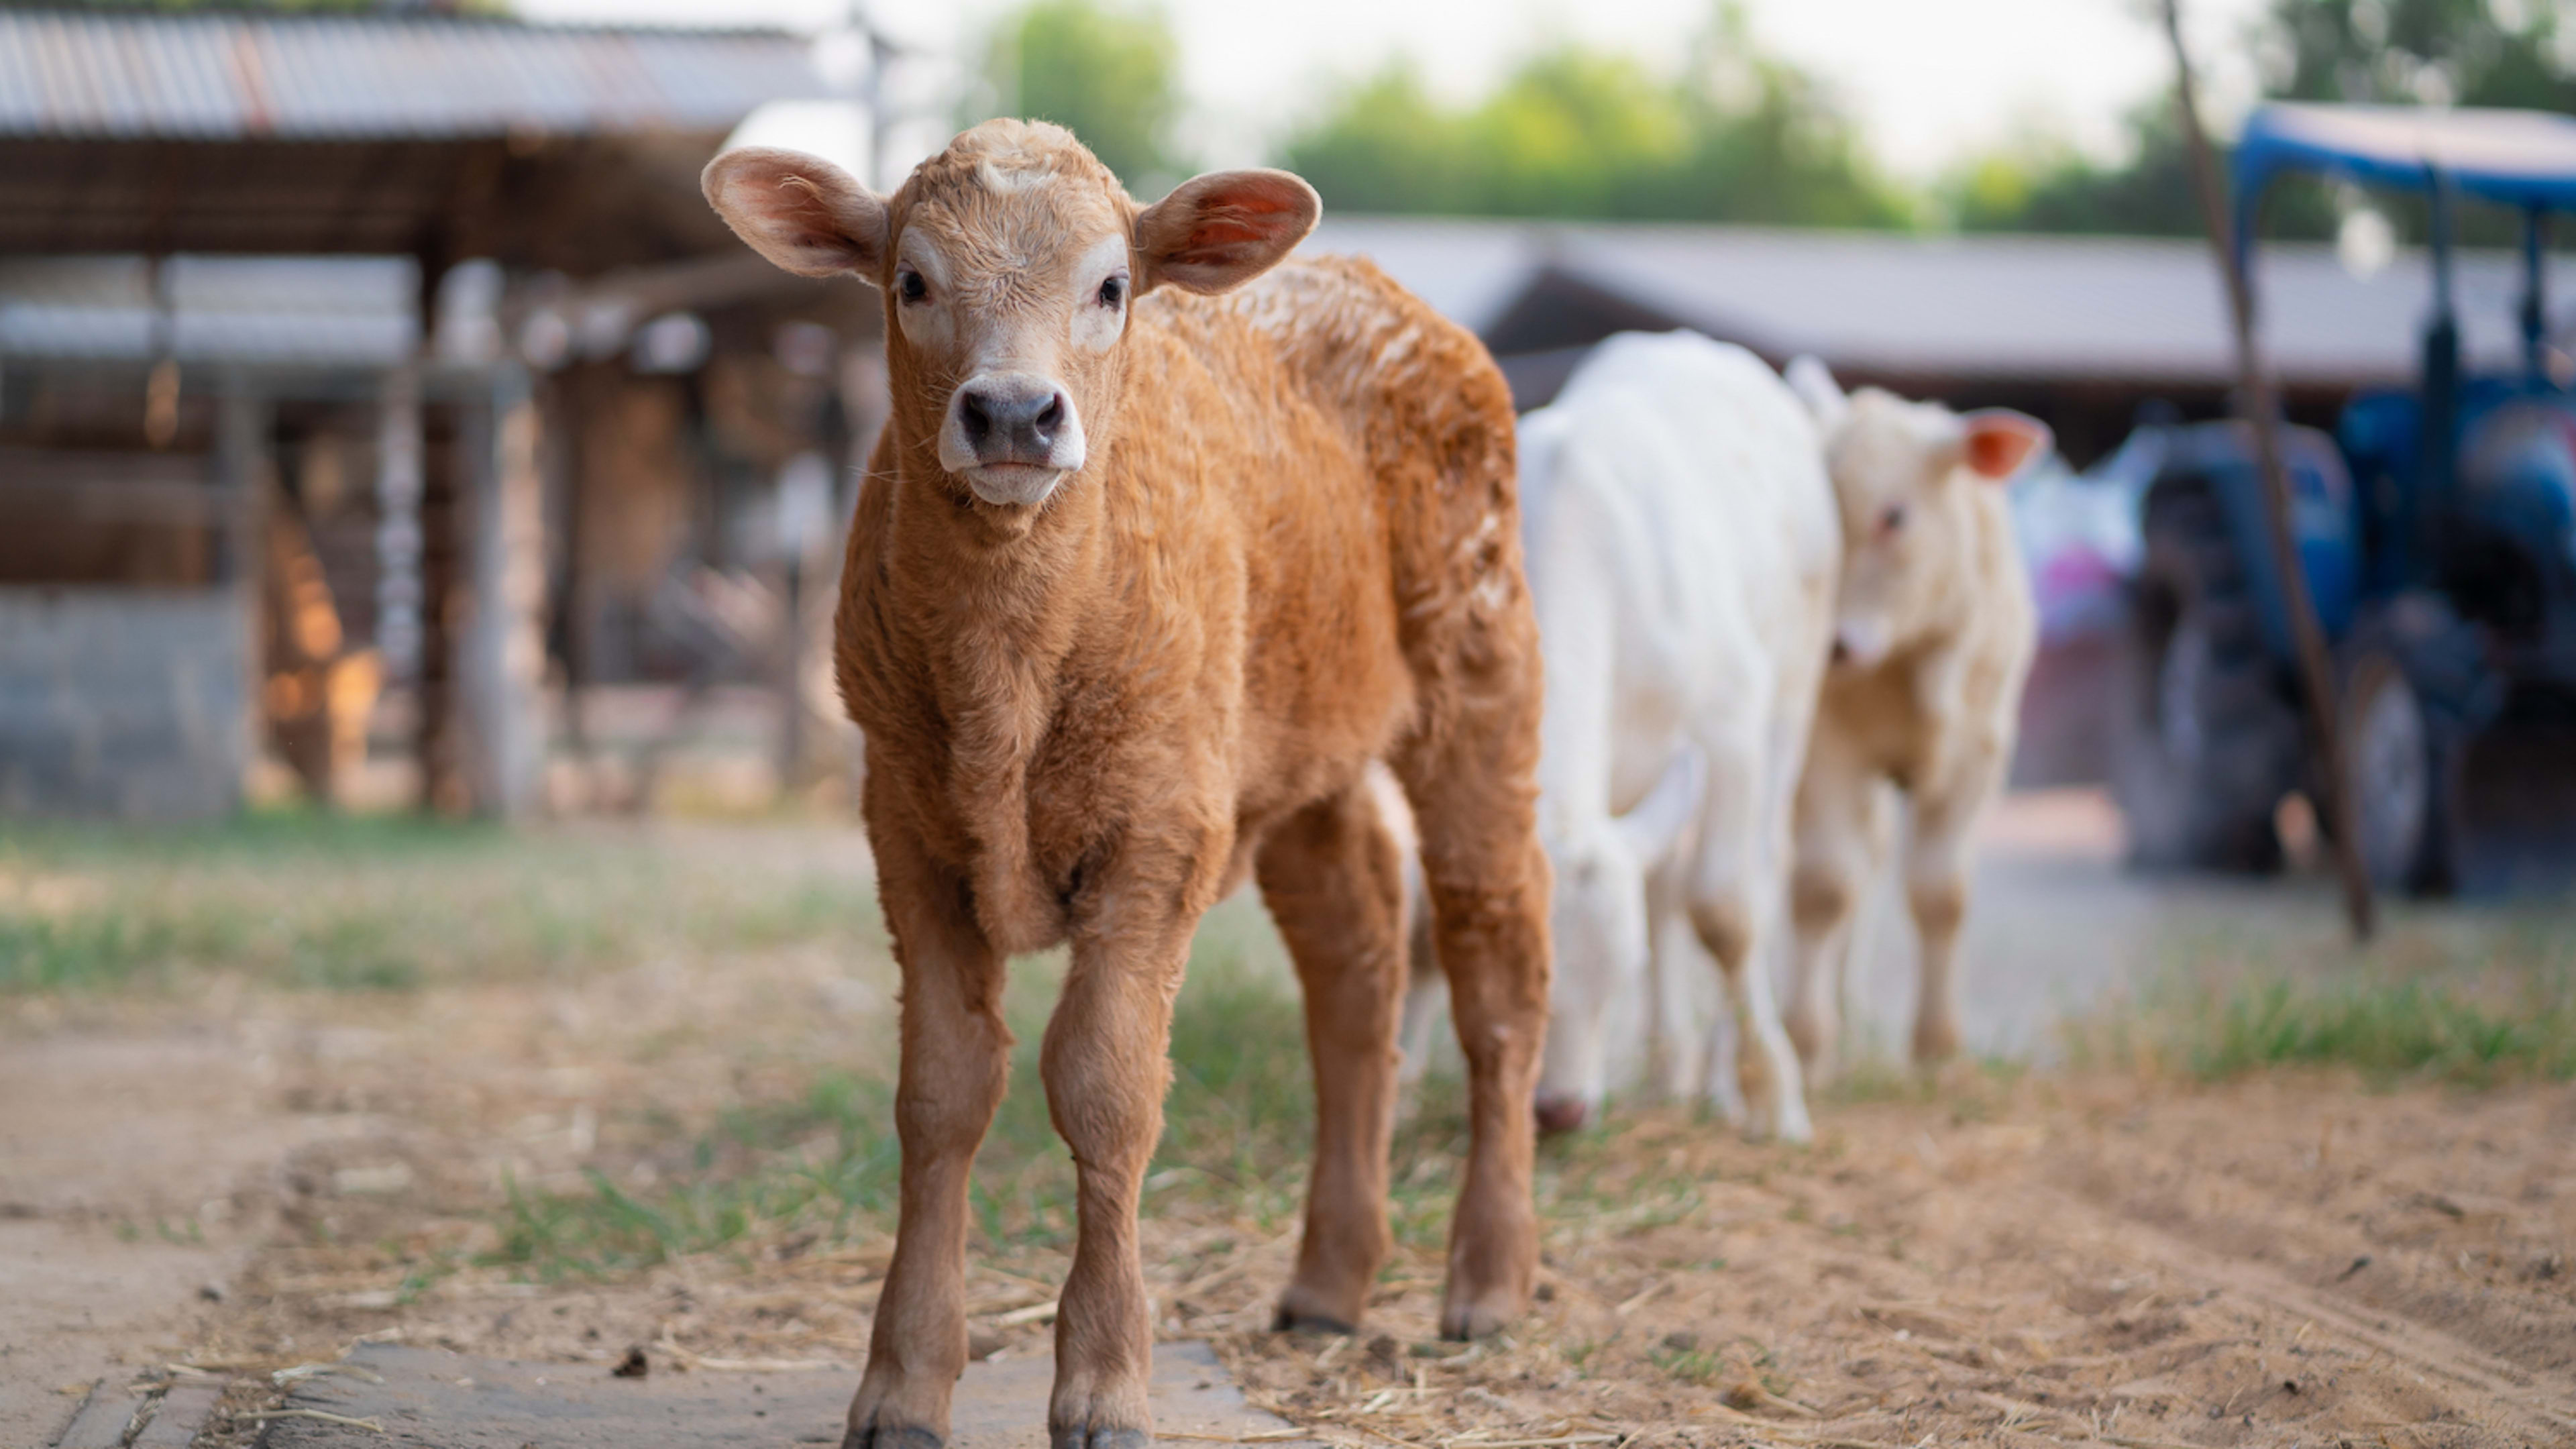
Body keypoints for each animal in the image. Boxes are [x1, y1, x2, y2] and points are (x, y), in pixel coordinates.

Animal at [702, 120, 1553, 1449]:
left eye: (1111, 287)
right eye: (912, 281)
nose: (1011, 411)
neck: (1012, 670)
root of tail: (1382, 291)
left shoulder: (1157, 834)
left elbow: (1104, 1085)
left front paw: (1104, 1385)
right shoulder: (907, 832)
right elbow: (942, 1092)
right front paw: (902, 1386)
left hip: (1481, 674)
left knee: (1495, 966)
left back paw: (1489, 1283)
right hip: (1295, 756)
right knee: (1355, 970)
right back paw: (1328, 1281)